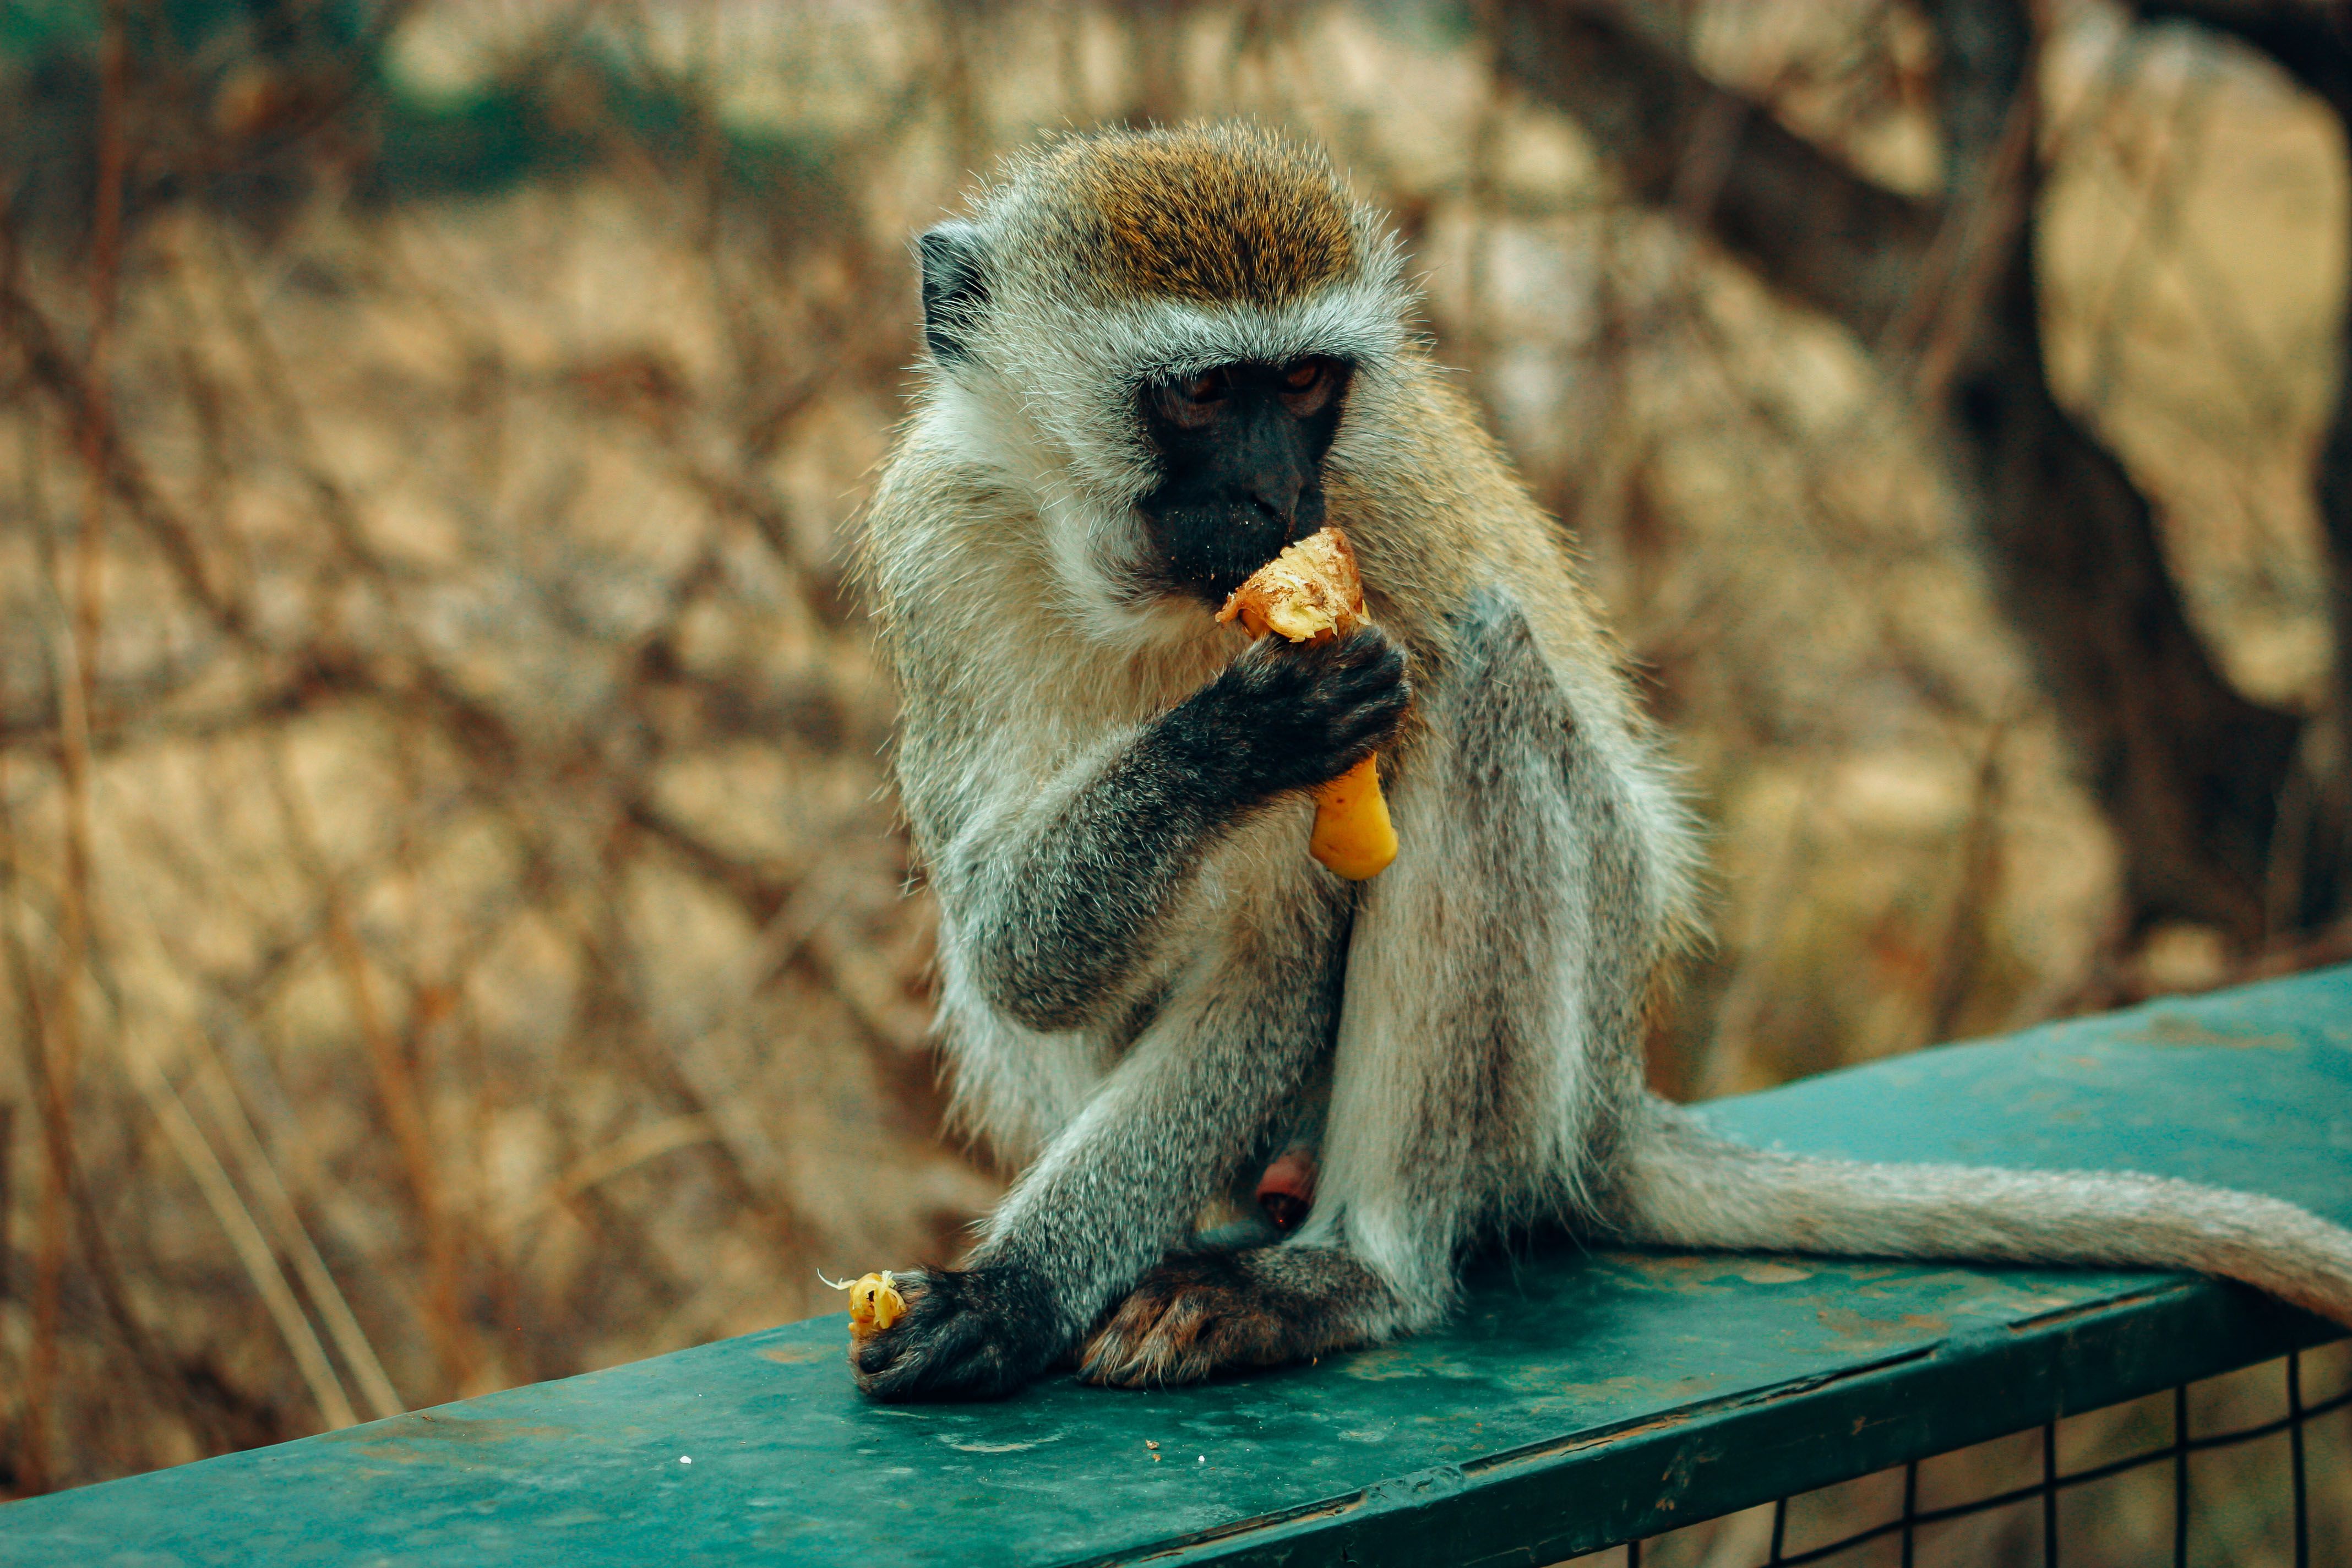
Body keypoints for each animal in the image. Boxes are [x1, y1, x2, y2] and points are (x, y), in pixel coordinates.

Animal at [849, 122, 2352, 1400]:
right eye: (1207, 393)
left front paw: (1017, 1292)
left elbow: (1272, 965)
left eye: (1306, 382)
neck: (1142, 595)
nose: (1282, 495)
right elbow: (1016, 954)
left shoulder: (1372, 534)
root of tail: (1611, 1101)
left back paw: (1354, 1266)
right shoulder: (941, 540)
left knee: (1480, 686)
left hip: (1544, 1070)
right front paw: (1248, 729)